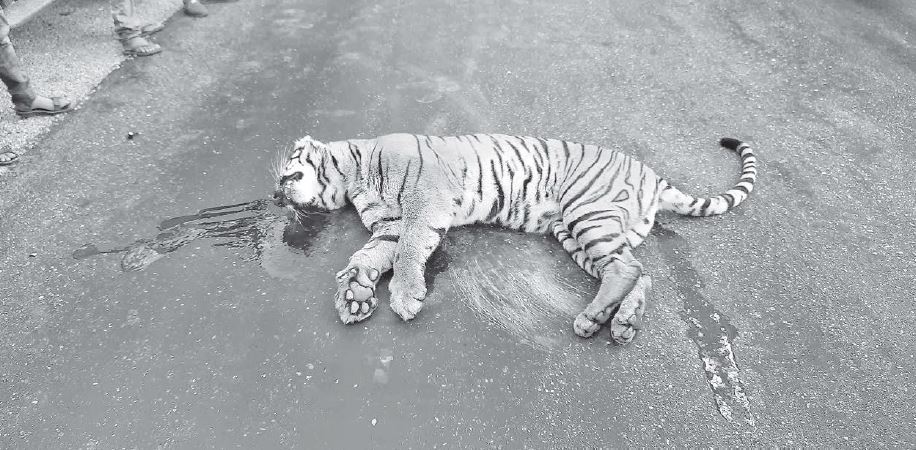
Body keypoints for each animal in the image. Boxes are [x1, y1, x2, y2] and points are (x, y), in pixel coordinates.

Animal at [272, 133, 756, 344]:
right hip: (575, 231)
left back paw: (592, 318)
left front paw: (405, 297)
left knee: (627, 267)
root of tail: (652, 174)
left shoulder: (425, 200)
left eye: (284, 173)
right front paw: (354, 294)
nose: (276, 197)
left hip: (587, 214)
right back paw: (618, 322)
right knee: (640, 271)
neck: (351, 176)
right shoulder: (390, 223)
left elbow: (410, 249)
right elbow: (369, 254)